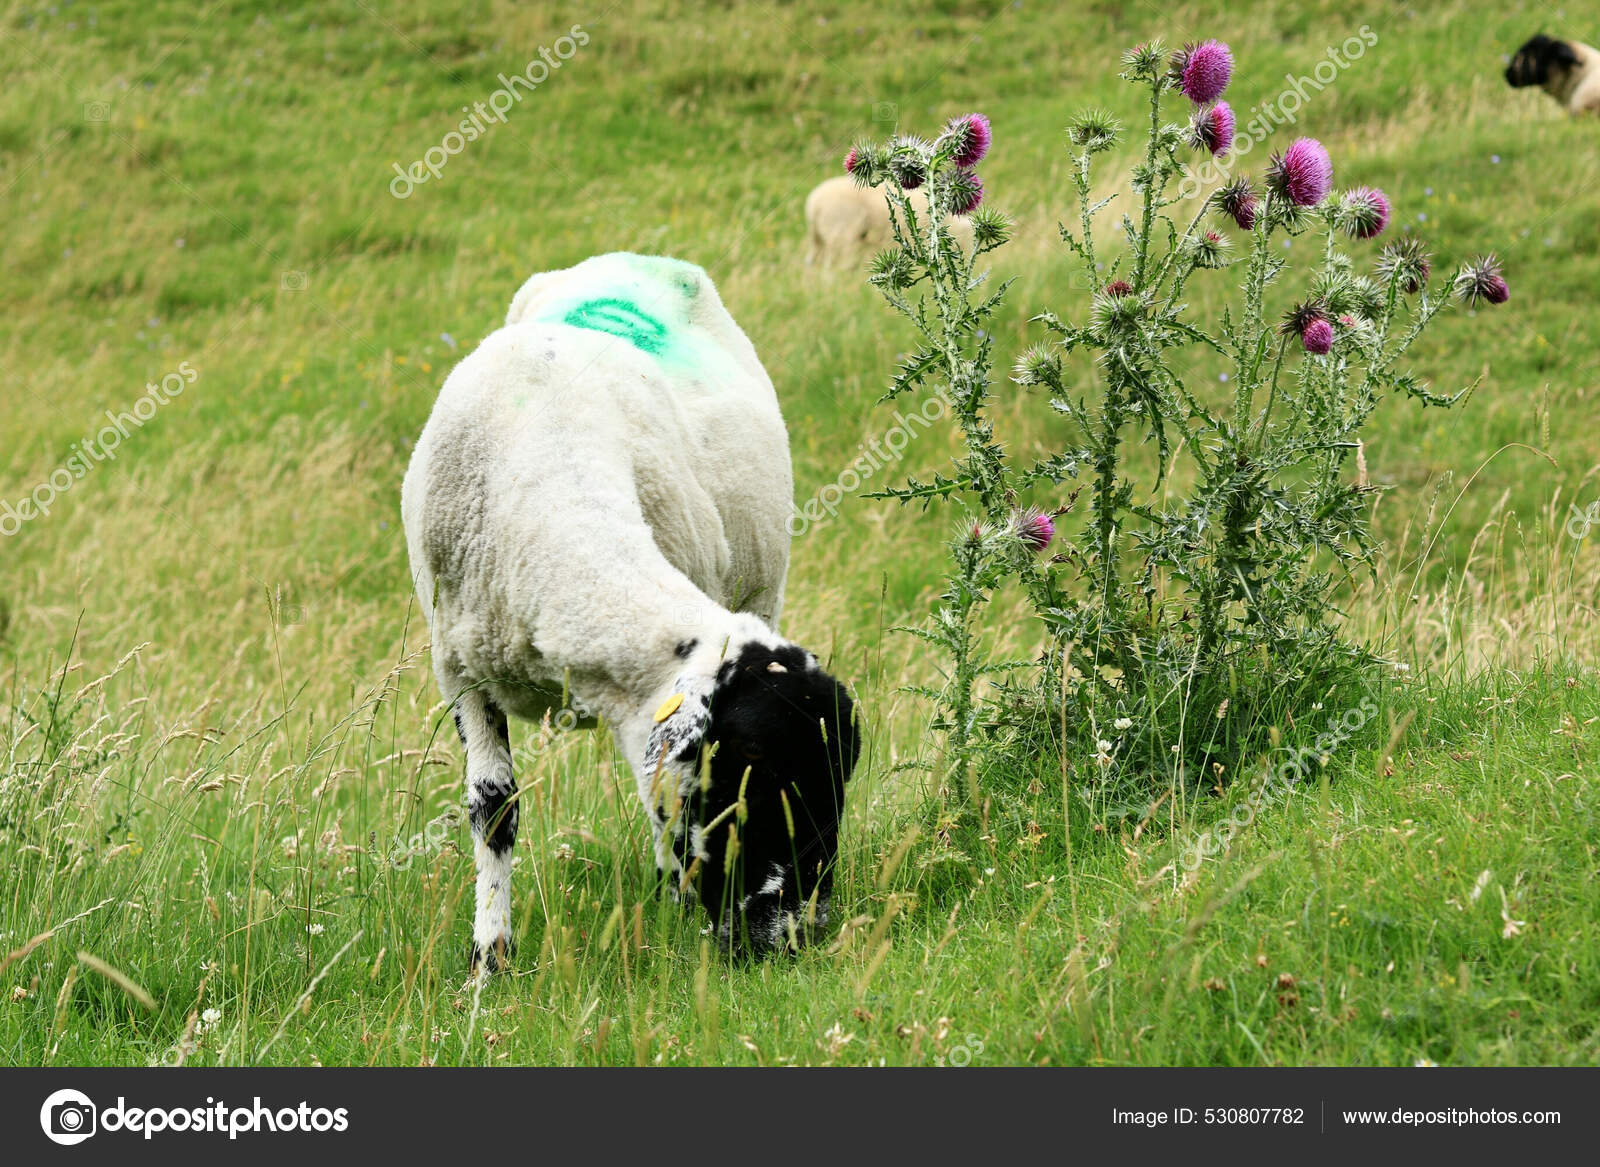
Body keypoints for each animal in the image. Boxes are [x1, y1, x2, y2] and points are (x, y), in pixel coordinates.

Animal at [401, 252, 861, 970]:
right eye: (753, 774)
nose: (796, 935)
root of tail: (642, 259)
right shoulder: (461, 675)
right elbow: (493, 811)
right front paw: (489, 961)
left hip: (762, 585)